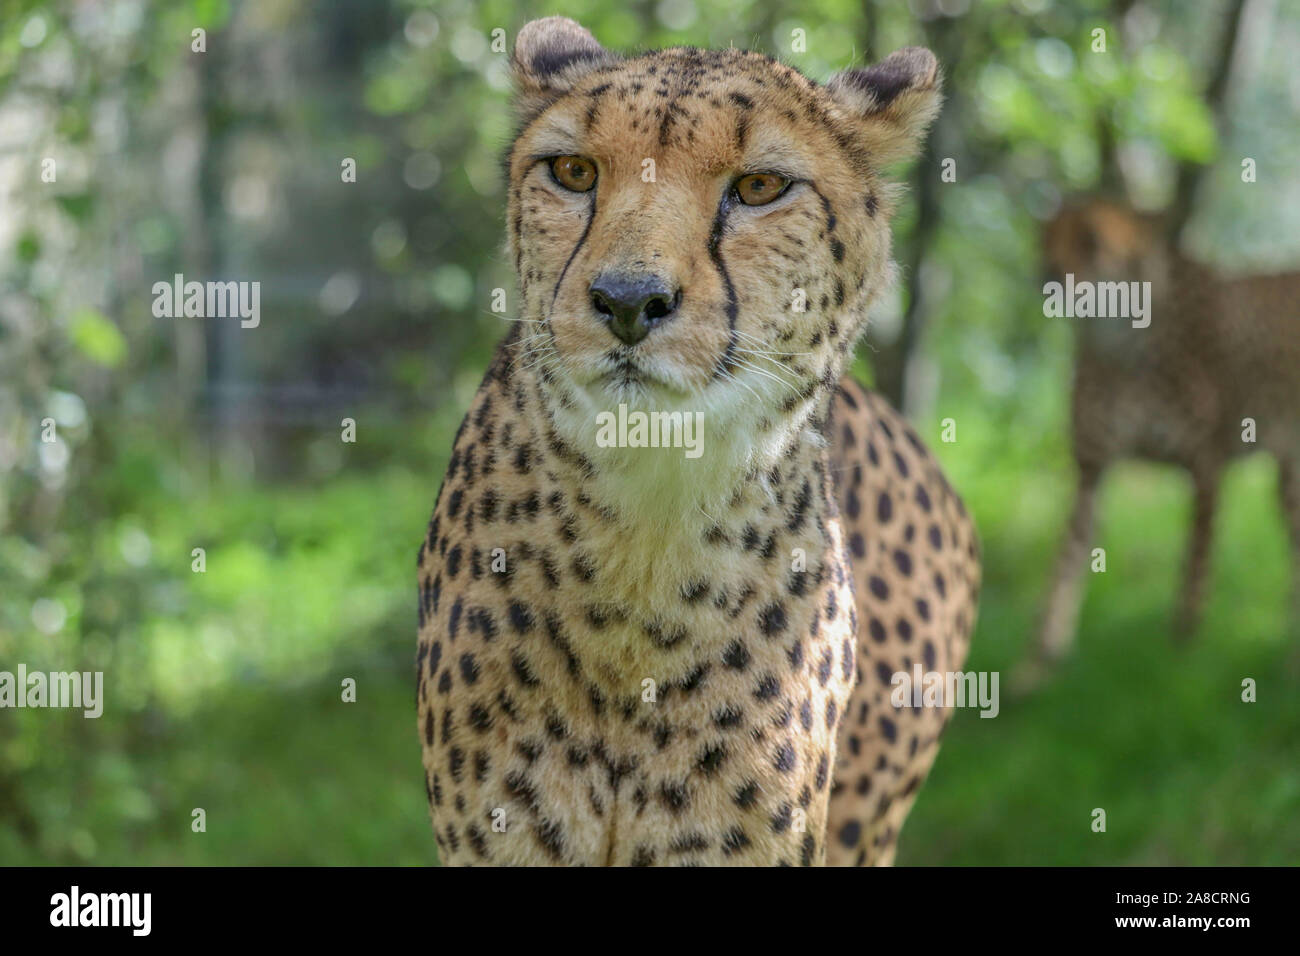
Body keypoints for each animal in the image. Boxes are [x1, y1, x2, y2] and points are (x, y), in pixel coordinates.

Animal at [1018, 195, 1300, 686]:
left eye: (1092, 240)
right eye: (1046, 238)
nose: (1046, 270)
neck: (1118, 338)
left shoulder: (1206, 467)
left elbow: (1194, 573)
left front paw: (1182, 666)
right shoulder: (1090, 471)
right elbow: (1063, 569)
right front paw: (1037, 666)